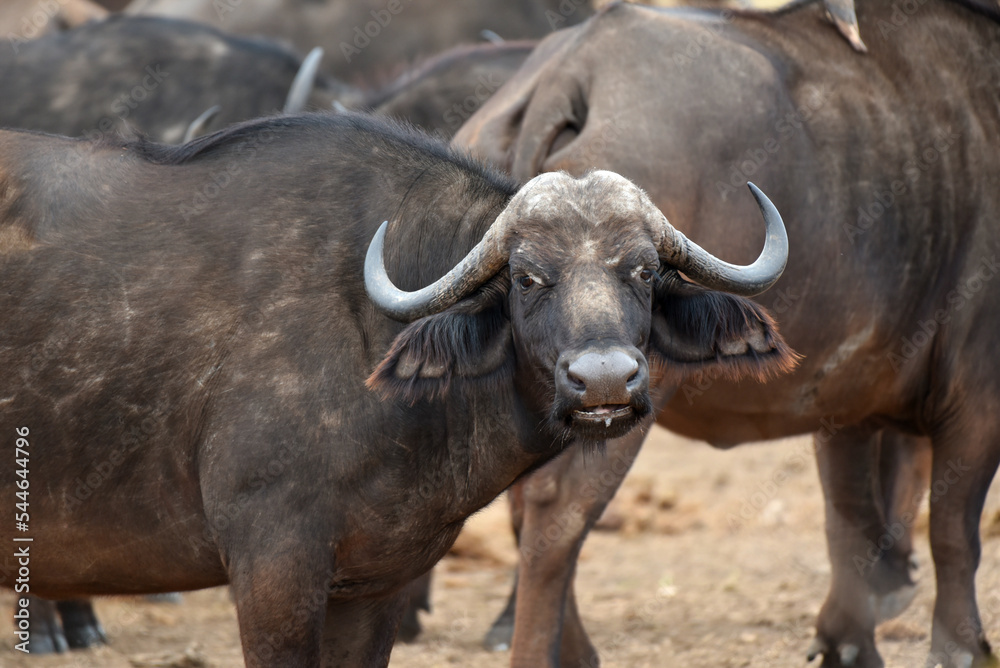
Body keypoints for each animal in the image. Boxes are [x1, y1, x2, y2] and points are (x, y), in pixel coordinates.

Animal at [0, 112, 793, 665]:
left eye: (645, 271)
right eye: (526, 277)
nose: (603, 380)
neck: (368, 332)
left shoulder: (375, 586)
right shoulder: (271, 568)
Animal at [453, 0, 1000, 666]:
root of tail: (568, 74)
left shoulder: (844, 396)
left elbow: (847, 518)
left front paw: (847, 638)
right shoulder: (977, 398)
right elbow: (952, 527)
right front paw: (962, 645)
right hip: (617, 387)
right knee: (556, 509)